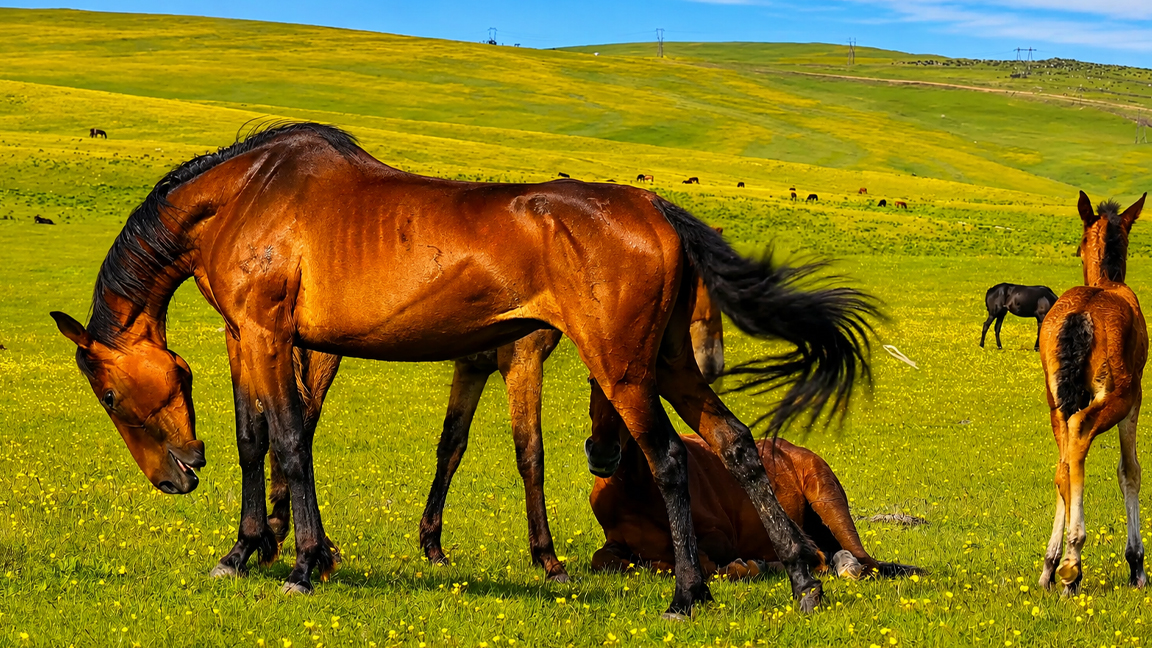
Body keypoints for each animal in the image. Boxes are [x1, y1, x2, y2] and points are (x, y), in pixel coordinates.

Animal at [261, 255, 726, 584]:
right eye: (702, 305)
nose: (605, 456)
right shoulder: (522, 362)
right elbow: (530, 454)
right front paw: (549, 560)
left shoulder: (473, 368)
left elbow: (451, 447)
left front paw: (432, 544)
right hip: (323, 357)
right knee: (300, 426)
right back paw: (301, 537)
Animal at [586, 410, 921, 581]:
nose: (602, 452)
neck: (636, 488)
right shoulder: (615, 542)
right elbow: (603, 559)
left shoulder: (720, 536)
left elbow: (700, 560)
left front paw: (742, 566)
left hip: (827, 499)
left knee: (860, 558)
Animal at [1038, 192, 1147, 595]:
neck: (1107, 282)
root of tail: (1082, 313)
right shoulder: (1136, 401)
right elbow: (1130, 471)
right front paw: (1136, 565)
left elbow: (1065, 471)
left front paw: (1050, 564)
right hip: (1115, 398)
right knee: (1080, 436)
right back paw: (1073, 560)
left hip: (1056, 402)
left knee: (1064, 464)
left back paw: (1055, 564)